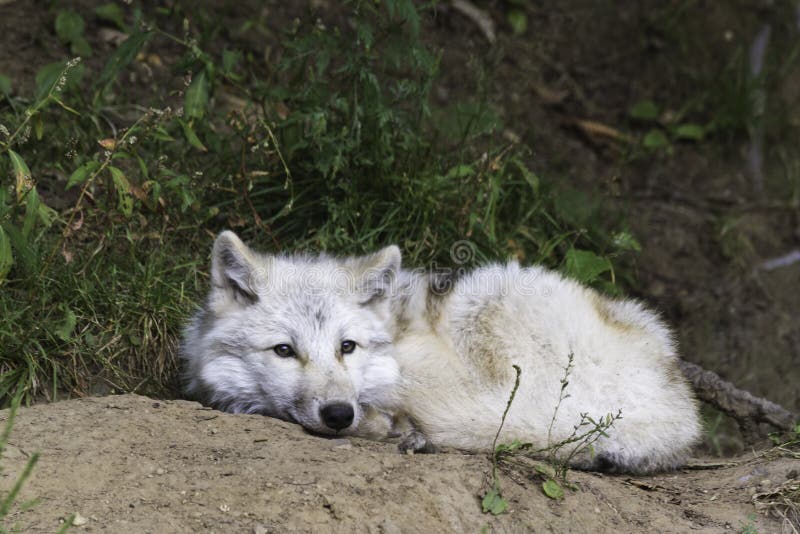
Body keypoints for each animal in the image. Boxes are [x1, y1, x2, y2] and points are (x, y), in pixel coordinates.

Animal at [181, 231, 701, 473]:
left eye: (347, 347)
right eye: (284, 350)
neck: (398, 335)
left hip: (491, 295)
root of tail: (681, 408)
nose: (338, 414)